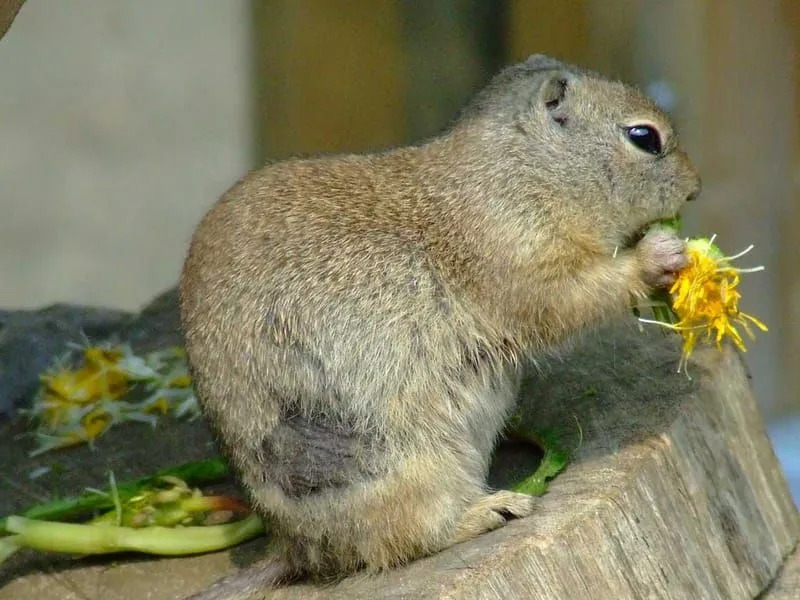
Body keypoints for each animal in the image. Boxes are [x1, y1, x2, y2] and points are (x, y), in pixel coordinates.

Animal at [178, 52, 696, 596]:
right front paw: (659, 256)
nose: (695, 188)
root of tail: (294, 548)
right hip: (416, 467)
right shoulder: (521, 261)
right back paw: (493, 509)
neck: (522, 170)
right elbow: (572, 298)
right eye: (644, 137)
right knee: (405, 540)